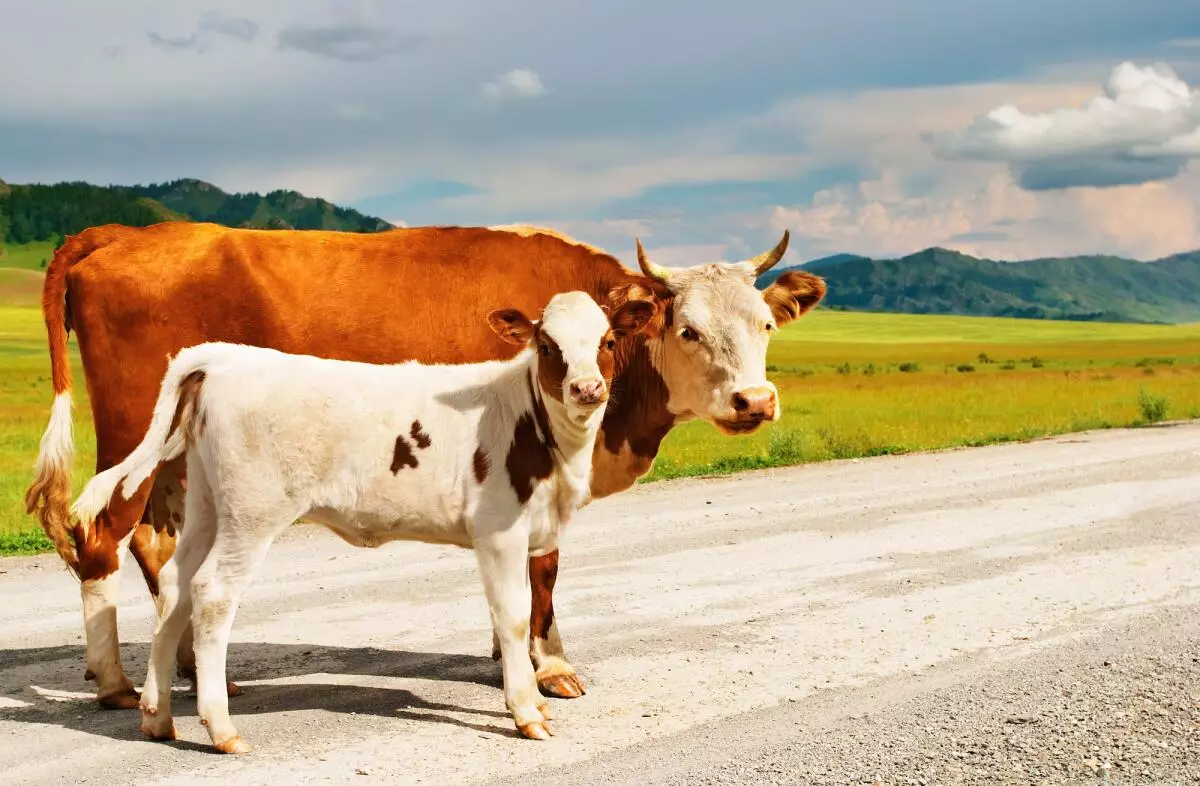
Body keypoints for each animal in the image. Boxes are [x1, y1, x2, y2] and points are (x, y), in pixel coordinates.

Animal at [25, 218, 825, 710]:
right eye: (688, 330)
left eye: (764, 324)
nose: (755, 401)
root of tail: (132, 231)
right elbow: (542, 572)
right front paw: (548, 666)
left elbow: (532, 573)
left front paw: (517, 653)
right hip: (132, 439)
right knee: (101, 542)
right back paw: (116, 682)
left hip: (177, 461)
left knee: (159, 549)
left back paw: (188, 667)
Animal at [72, 290, 657, 758]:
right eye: (548, 346)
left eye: (607, 341)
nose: (587, 388)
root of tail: (222, 356)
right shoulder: (498, 532)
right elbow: (514, 617)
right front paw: (527, 712)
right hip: (251, 513)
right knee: (211, 593)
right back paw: (221, 730)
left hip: (208, 505)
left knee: (175, 584)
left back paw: (157, 717)